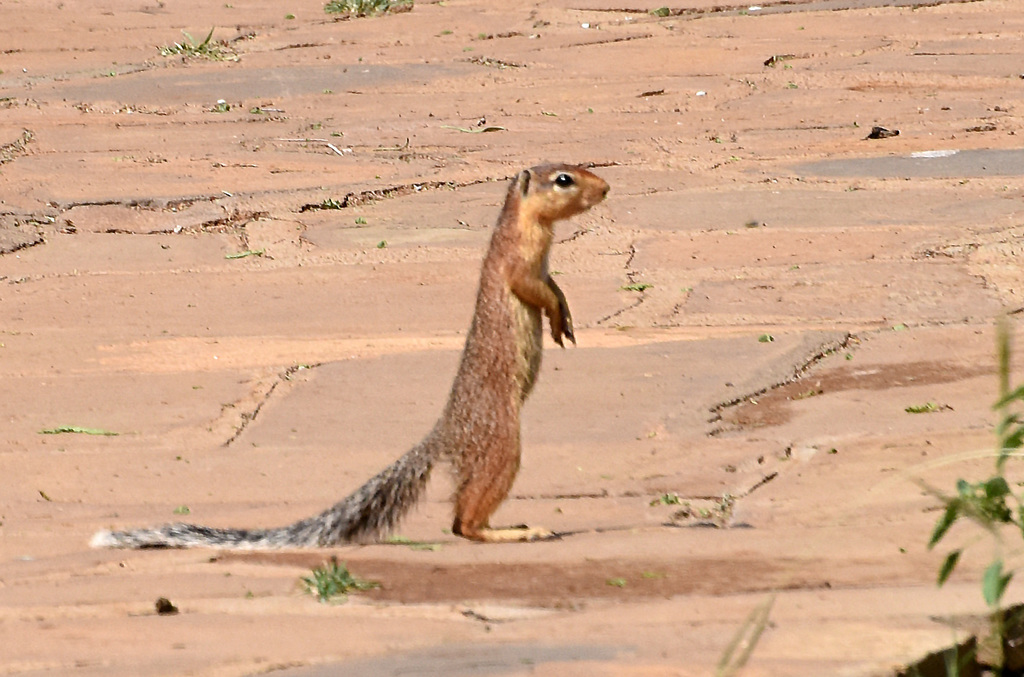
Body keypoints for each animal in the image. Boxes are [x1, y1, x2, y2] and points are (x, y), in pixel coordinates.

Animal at [90, 163, 609, 549]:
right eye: (564, 179)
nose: (606, 187)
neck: (528, 224)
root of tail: (444, 434)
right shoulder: (518, 263)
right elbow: (535, 290)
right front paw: (557, 315)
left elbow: (555, 289)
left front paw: (564, 322)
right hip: (502, 443)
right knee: (464, 520)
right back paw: (516, 531)